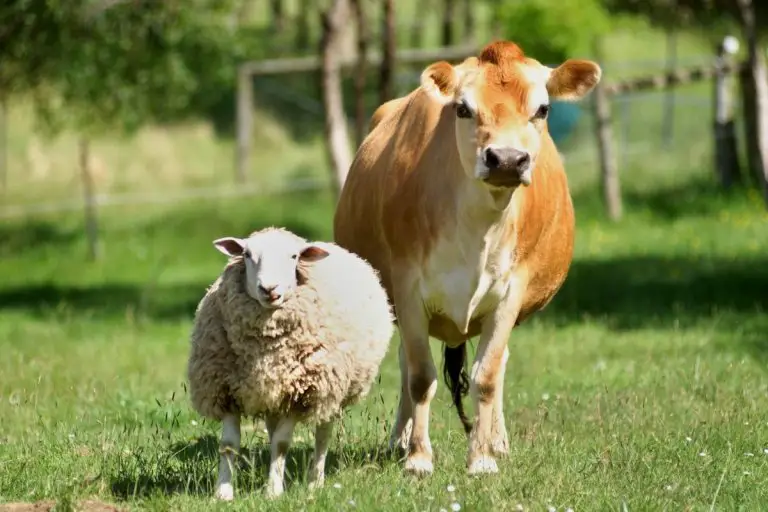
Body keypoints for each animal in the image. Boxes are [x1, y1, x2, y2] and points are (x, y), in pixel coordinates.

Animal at [186, 226, 394, 501]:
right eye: (247, 254)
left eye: (294, 256)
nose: (269, 289)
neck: (264, 347)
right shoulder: (225, 389)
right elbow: (228, 445)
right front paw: (223, 493)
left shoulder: (300, 394)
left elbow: (282, 444)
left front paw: (273, 492)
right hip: (273, 392)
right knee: (273, 427)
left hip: (330, 390)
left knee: (323, 434)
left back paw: (315, 482)